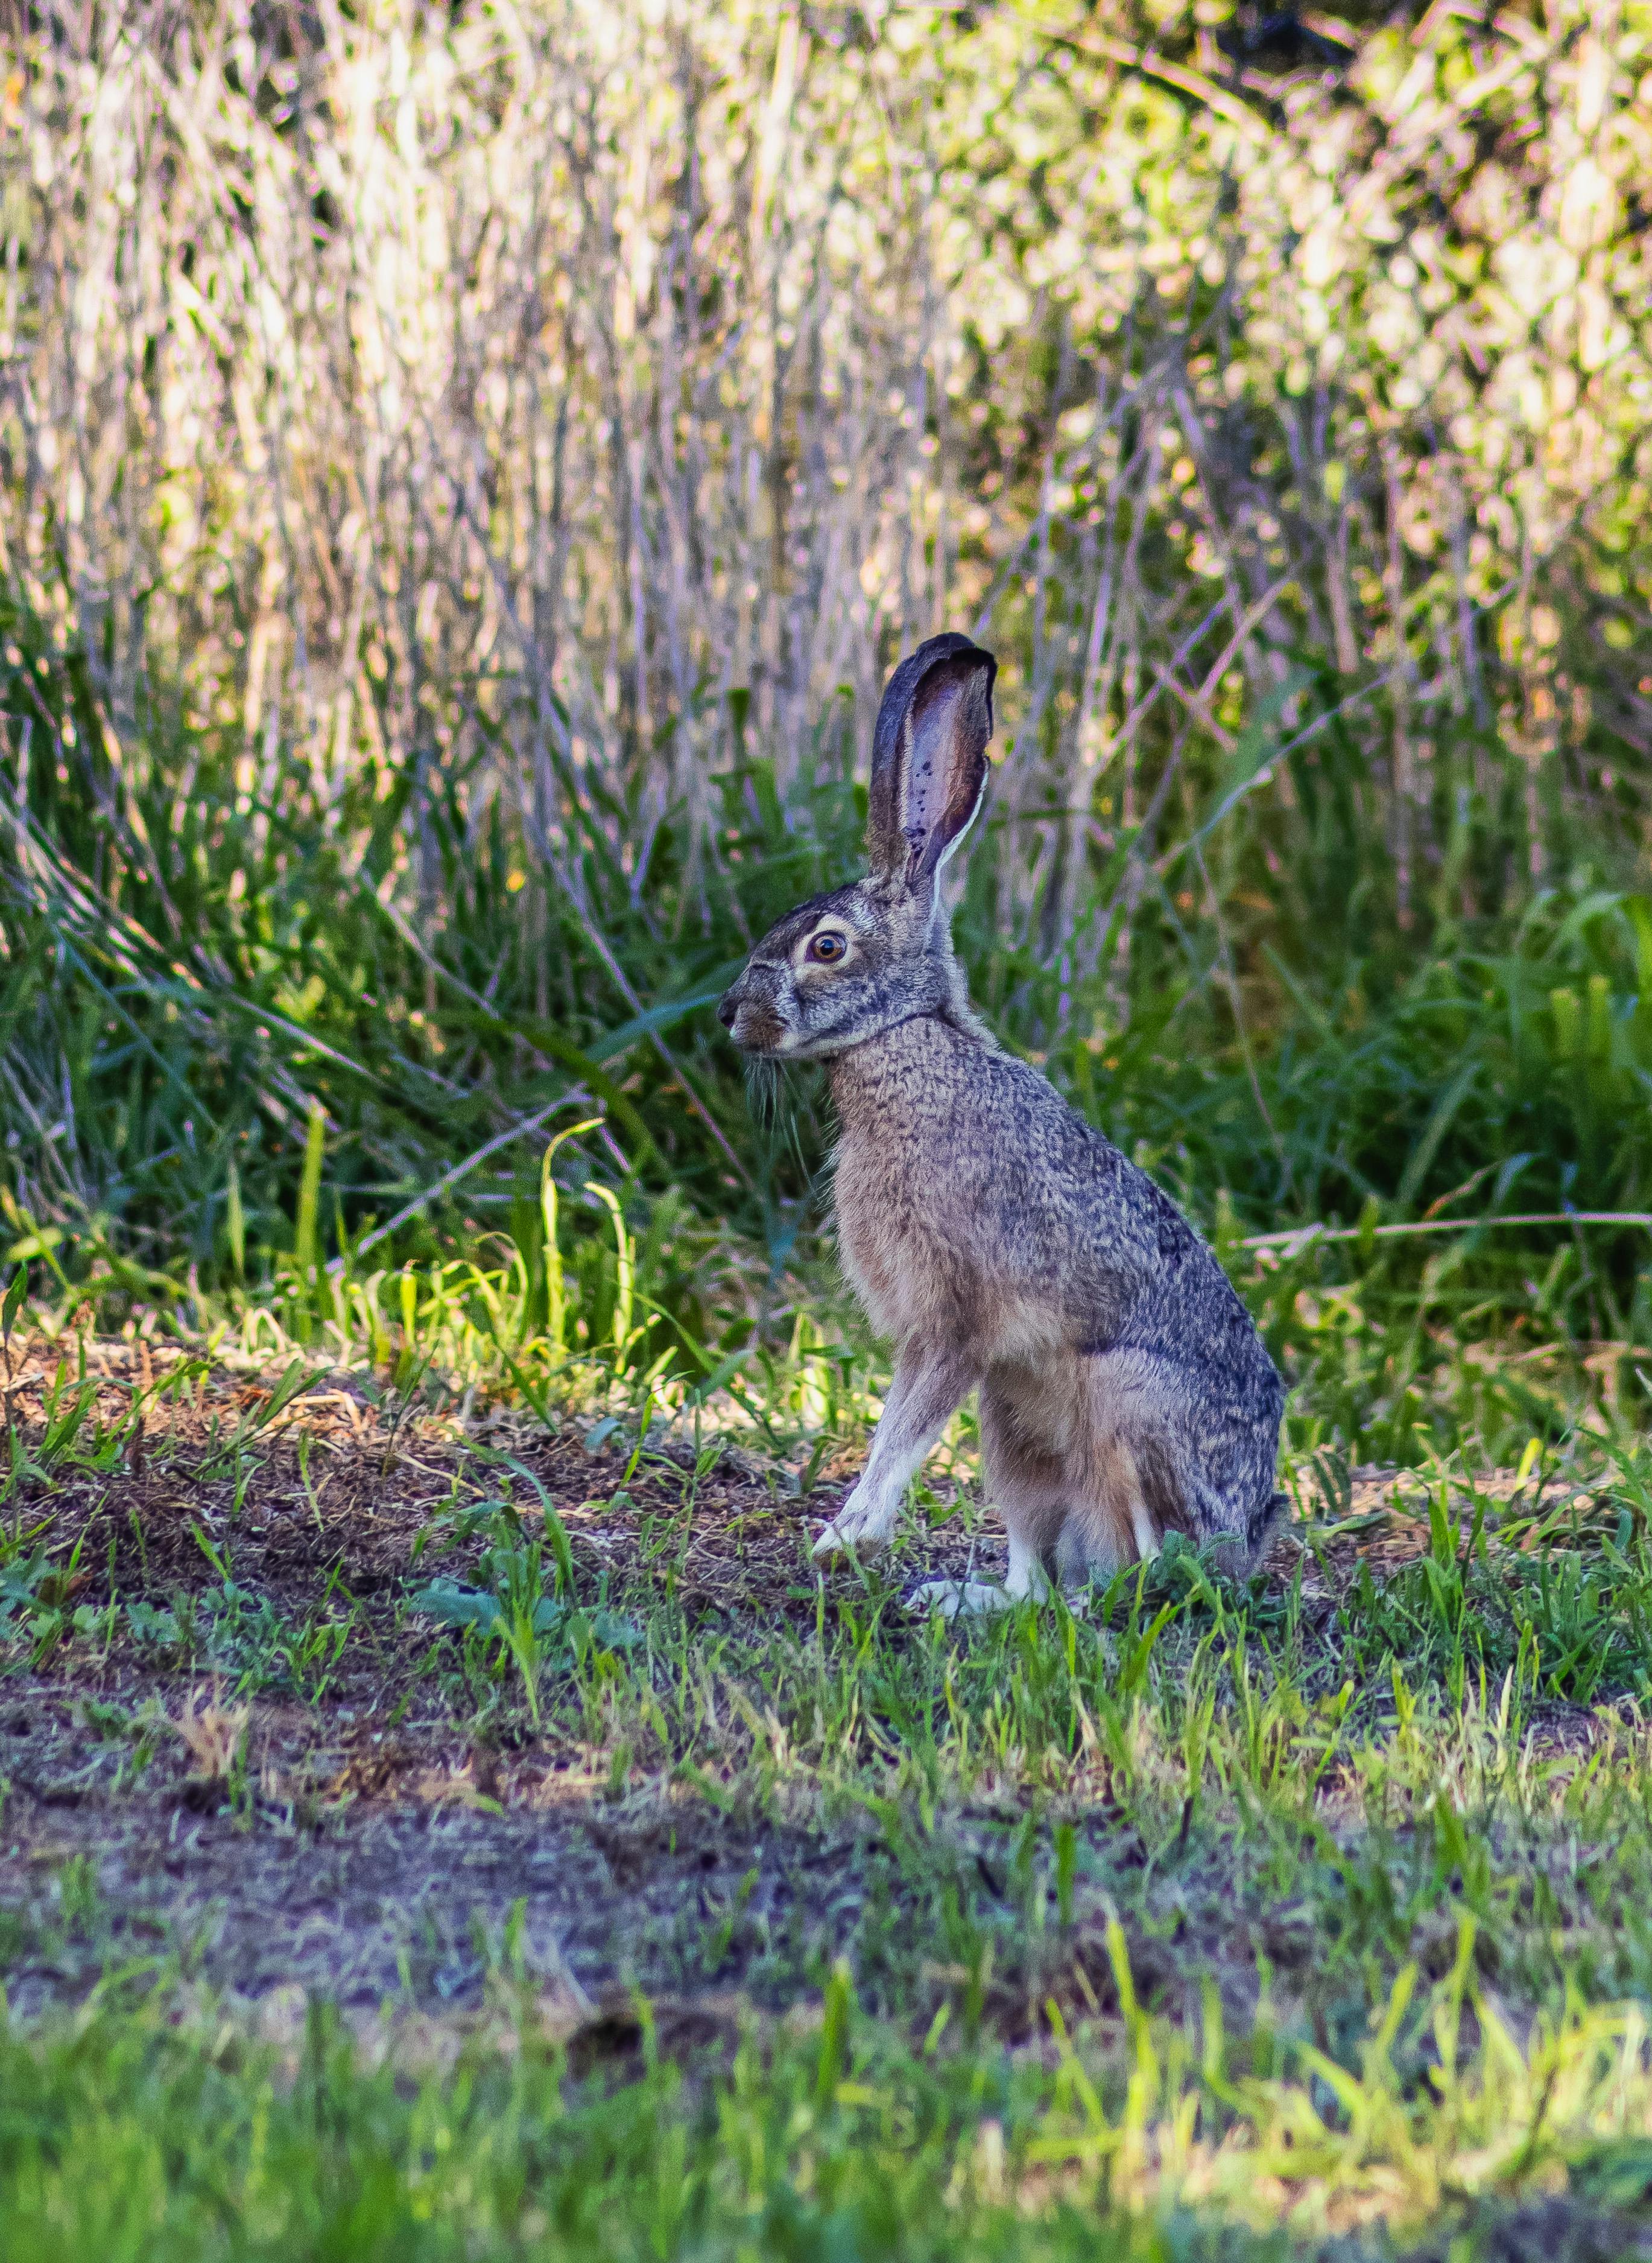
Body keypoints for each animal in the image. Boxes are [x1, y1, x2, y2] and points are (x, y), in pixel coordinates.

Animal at [717, 632, 1287, 1612]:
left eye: (825, 946)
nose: (730, 1014)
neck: (903, 1043)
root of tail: (1247, 1540)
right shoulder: (943, 1340)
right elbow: (893, 1425)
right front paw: (845, 1539)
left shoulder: (955, 1319)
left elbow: (903, 1433)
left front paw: (844, 1537)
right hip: (1014, 1421)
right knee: (1037, 1569)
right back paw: (964, 1600)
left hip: (1126, 1407)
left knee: (1149, 1572)